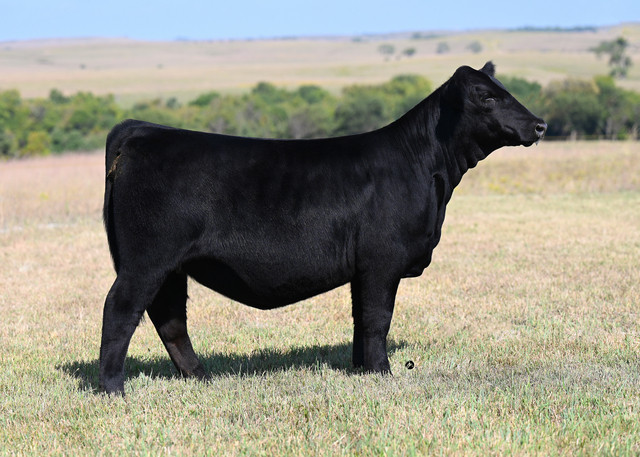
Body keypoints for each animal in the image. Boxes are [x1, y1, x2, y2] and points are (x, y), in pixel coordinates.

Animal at [99, 62, 546, 394]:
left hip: (171, 266)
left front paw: (362, 369)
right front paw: (382, 373)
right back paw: (112, 388)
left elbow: (360, 318)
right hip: (148, 258)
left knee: (170, 318)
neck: (427, 169)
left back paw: (201, 378)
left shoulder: (363, 268)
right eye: (488, 97)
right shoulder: (382, 260)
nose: (540, 125)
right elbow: (378, 317)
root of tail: (142, 129)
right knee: (121, 308)